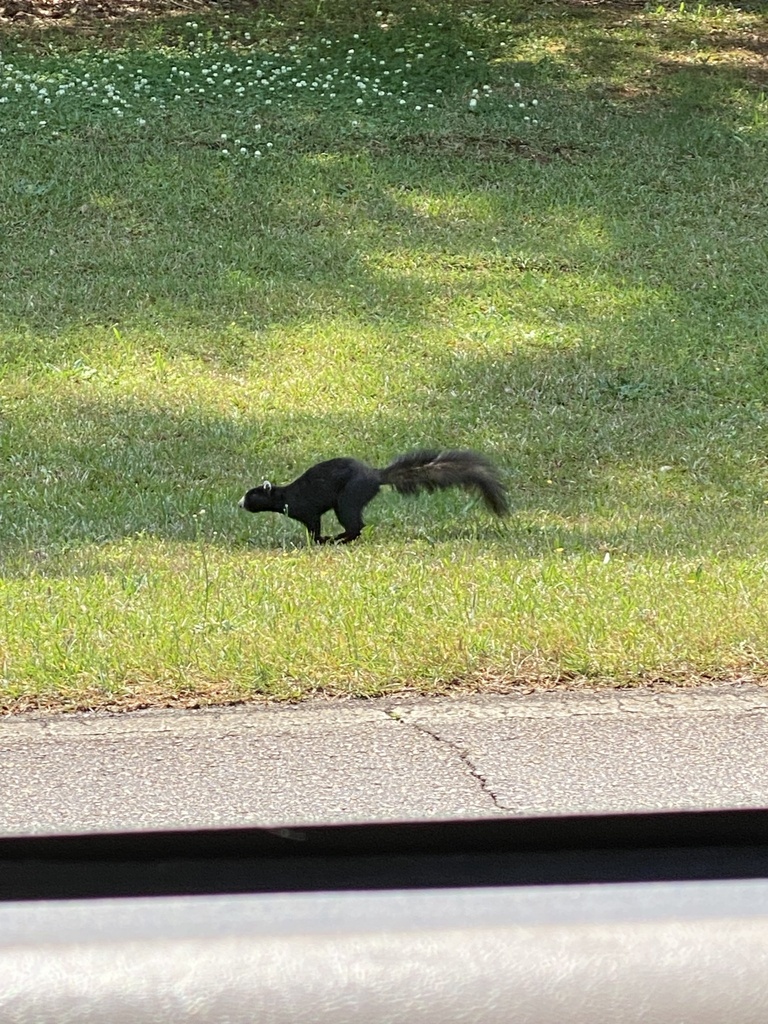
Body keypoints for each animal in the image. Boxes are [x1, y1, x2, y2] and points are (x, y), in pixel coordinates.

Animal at [238, 449, 508, 544]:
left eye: (251, 495)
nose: (239, 502)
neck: (287, 494)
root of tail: (375, 476)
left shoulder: (307, 509)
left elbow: (313, 526)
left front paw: (319, 539)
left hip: (347, 499)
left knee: (356, 525)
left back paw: (337, 538)